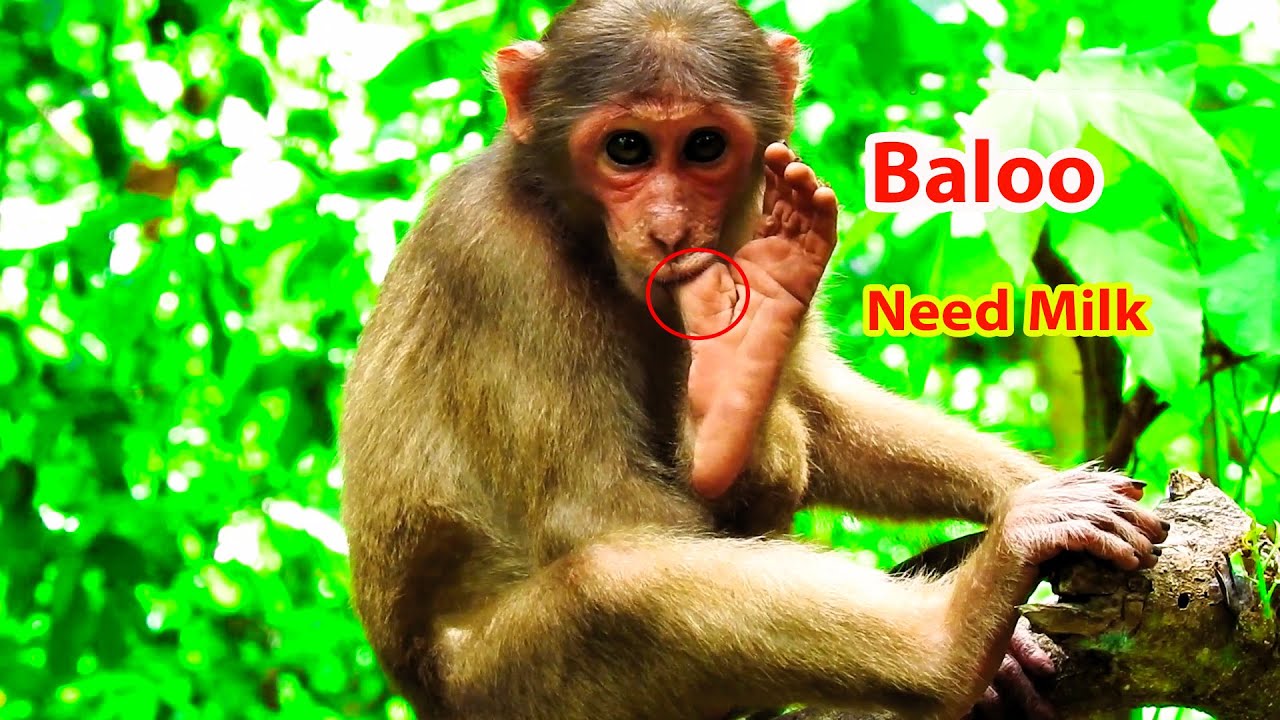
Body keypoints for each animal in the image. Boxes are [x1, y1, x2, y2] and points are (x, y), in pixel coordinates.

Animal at [338, 1, 1169, 719]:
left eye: (704, 146)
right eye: (626, 148)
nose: (670, 227)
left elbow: (824, 413)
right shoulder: (496, 256)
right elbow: (600, 514)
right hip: (501, 690)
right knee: (616, 587)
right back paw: (957, 641)